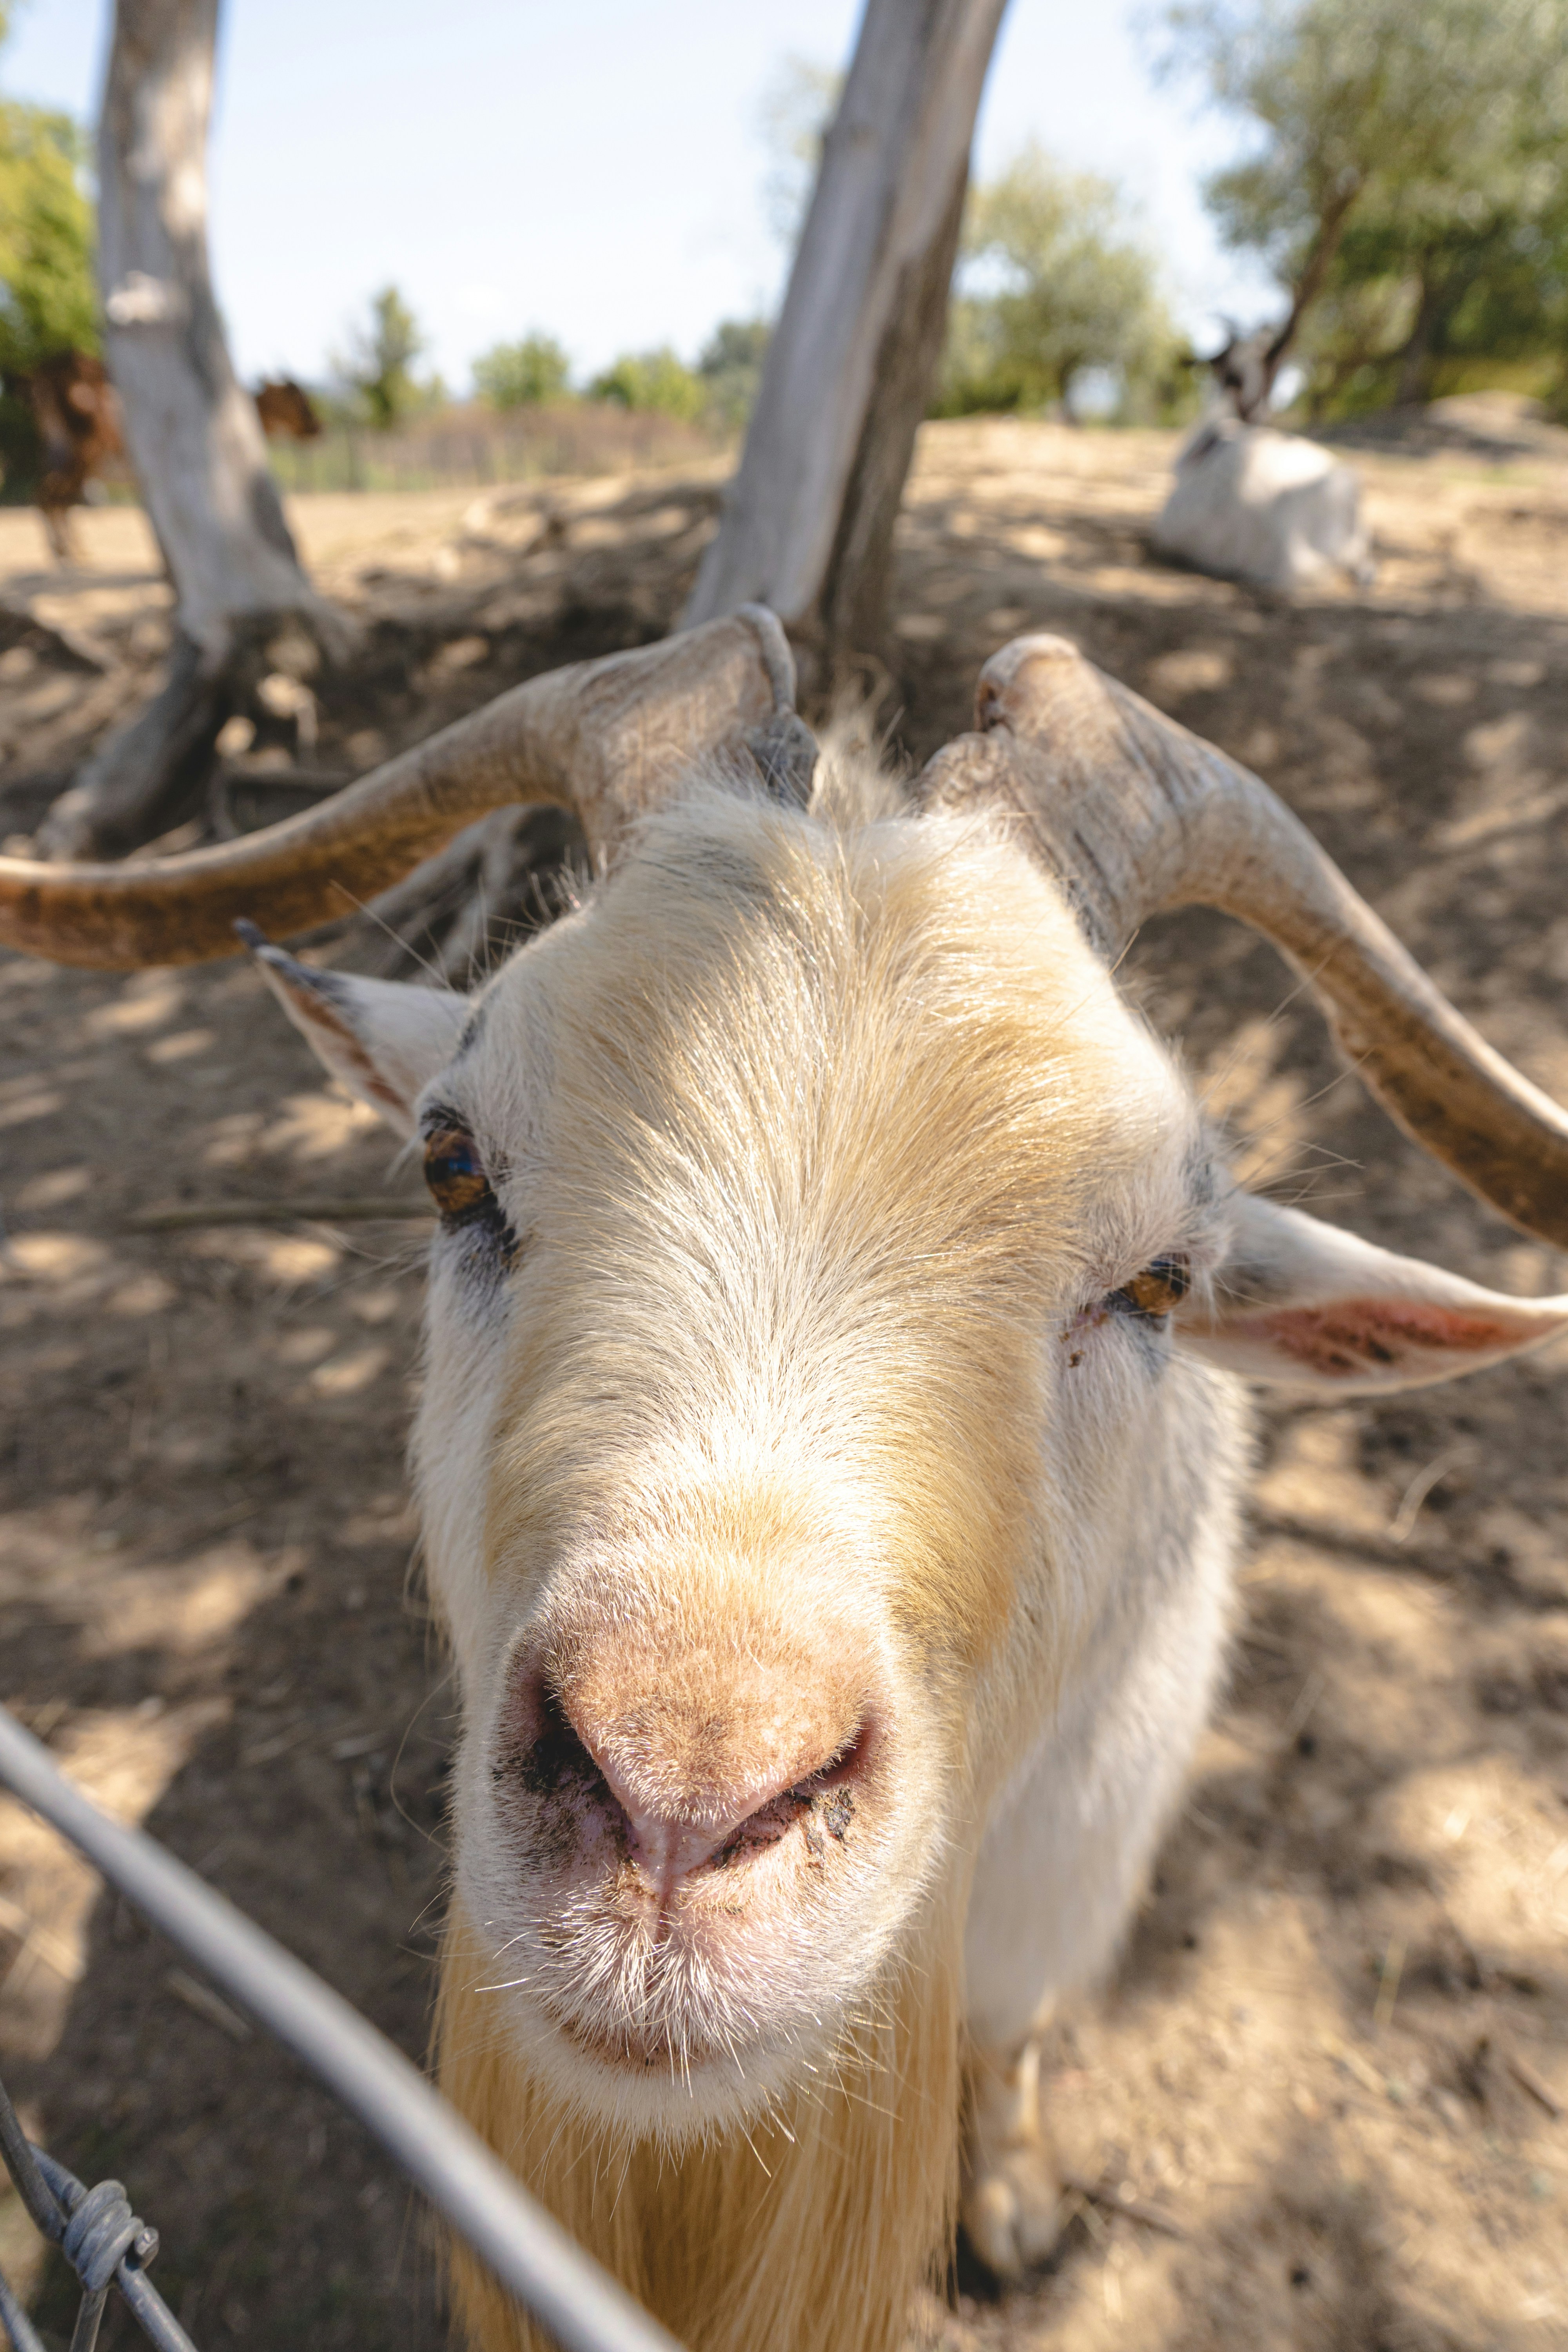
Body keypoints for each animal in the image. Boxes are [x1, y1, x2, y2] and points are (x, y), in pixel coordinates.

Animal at [5, 611, 1565, 2352]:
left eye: (1161, 1281)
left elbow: (1010, 2035)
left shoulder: (1074, 1859)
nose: (680, 1796)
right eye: (453, 1166)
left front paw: (1019, 2205)